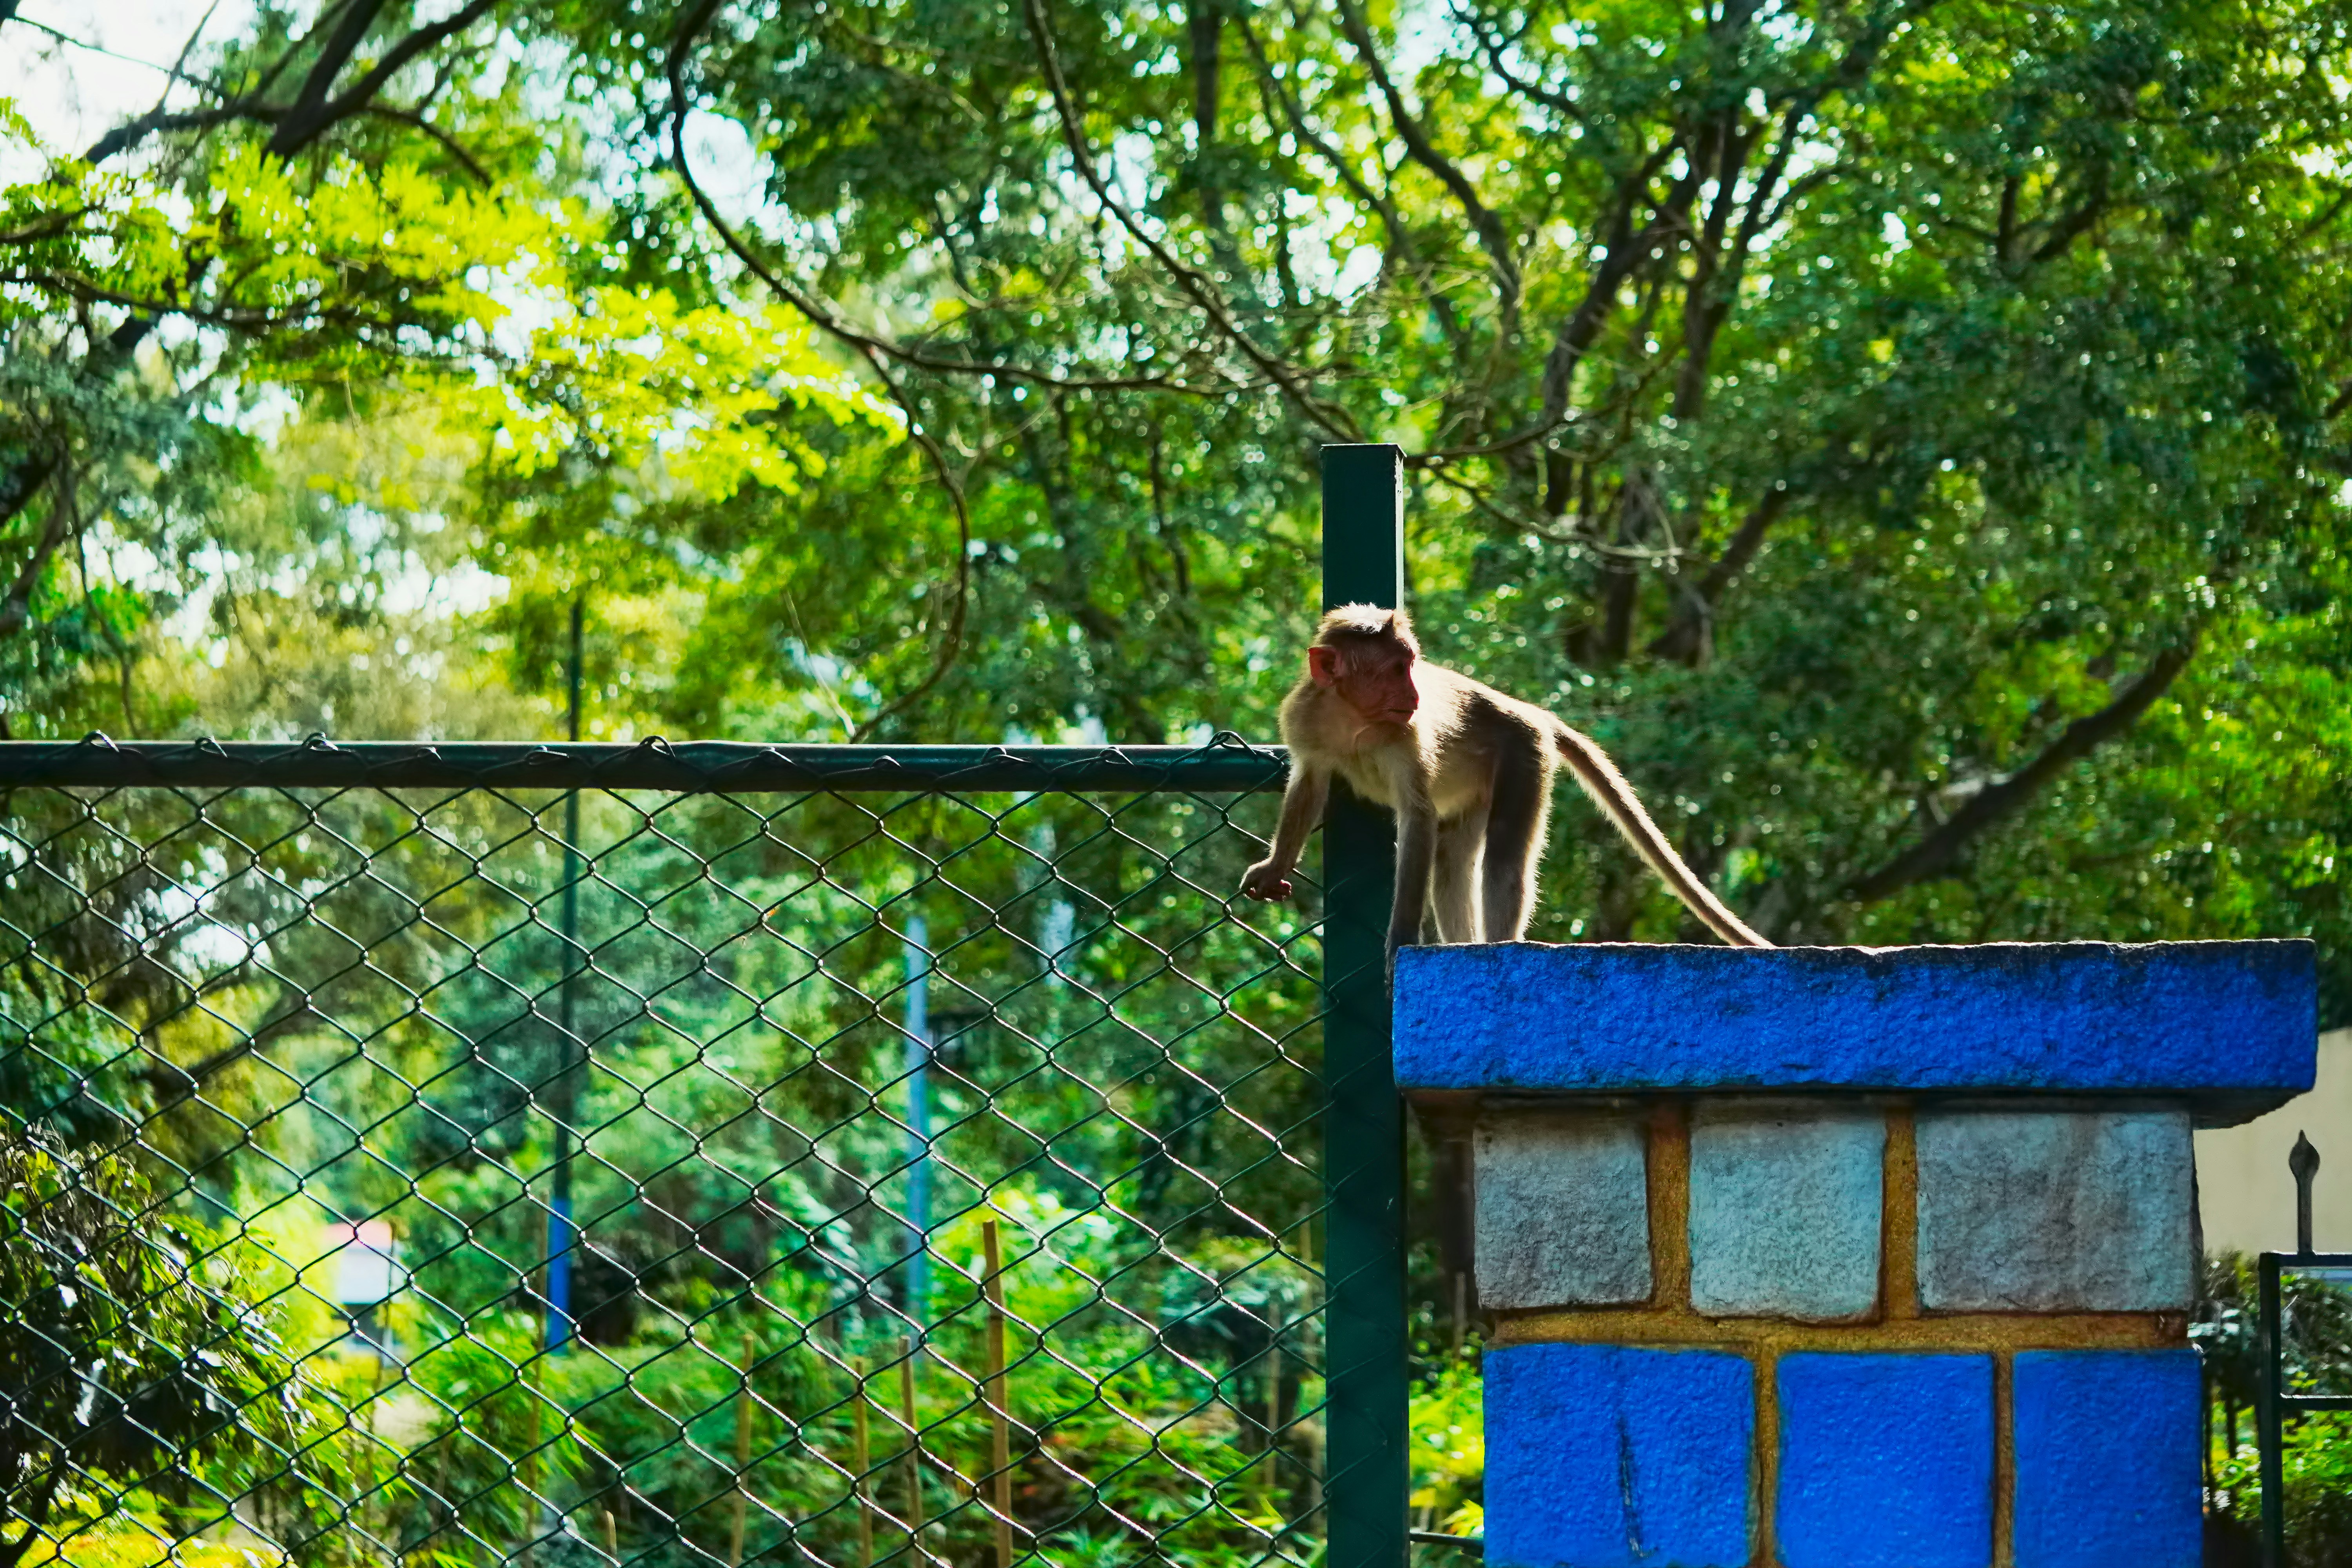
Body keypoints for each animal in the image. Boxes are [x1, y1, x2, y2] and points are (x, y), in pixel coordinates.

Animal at [1238, 603, 1770, 958]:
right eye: (1394, 669)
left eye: (1410, 666)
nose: (1416, 693)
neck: (1354, 718)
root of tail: (1533, 712)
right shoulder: (1304, 720)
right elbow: (1310, 785)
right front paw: (1276, 865)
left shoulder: (1407, 738)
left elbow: (1417, 817)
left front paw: (1402, 937)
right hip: (1480, 788)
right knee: (1452, 861)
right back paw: (1465, 947)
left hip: (1524, 754)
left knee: (1503, 860)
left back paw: (1499, 948)